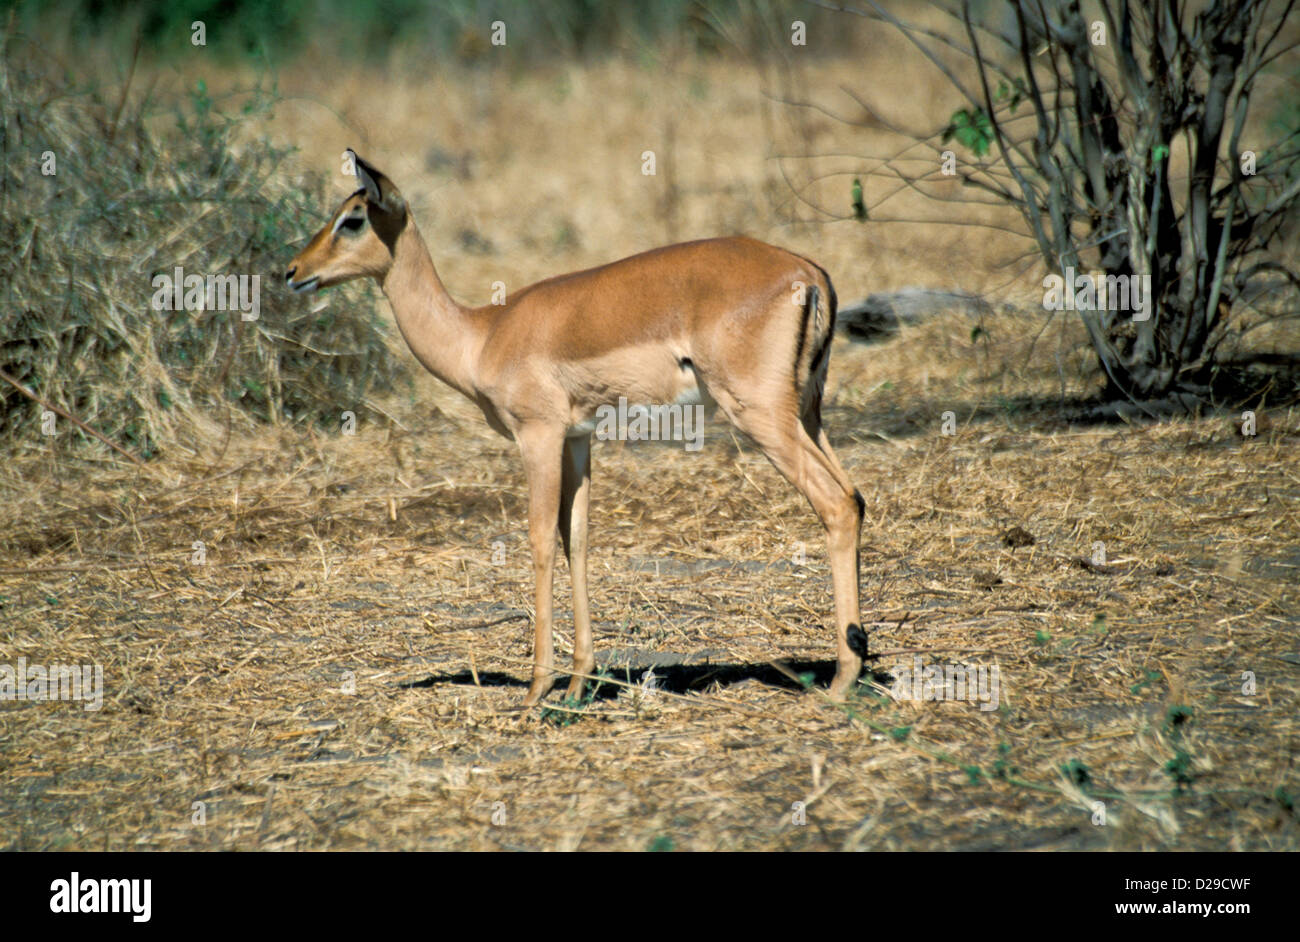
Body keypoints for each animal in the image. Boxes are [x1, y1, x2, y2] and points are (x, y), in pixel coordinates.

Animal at [286, 151, 867, 707]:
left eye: (353, 218)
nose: (293, 271)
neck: (482, 335)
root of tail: (808, 273)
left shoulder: (538, 435)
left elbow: (541, 539)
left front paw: (537, 689)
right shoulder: (578, 439)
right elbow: (578, 538)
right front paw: (576, 683)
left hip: (759, 414)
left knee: (836, 503)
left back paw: (840, 683)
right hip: (807, 414)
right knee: (856, 498)